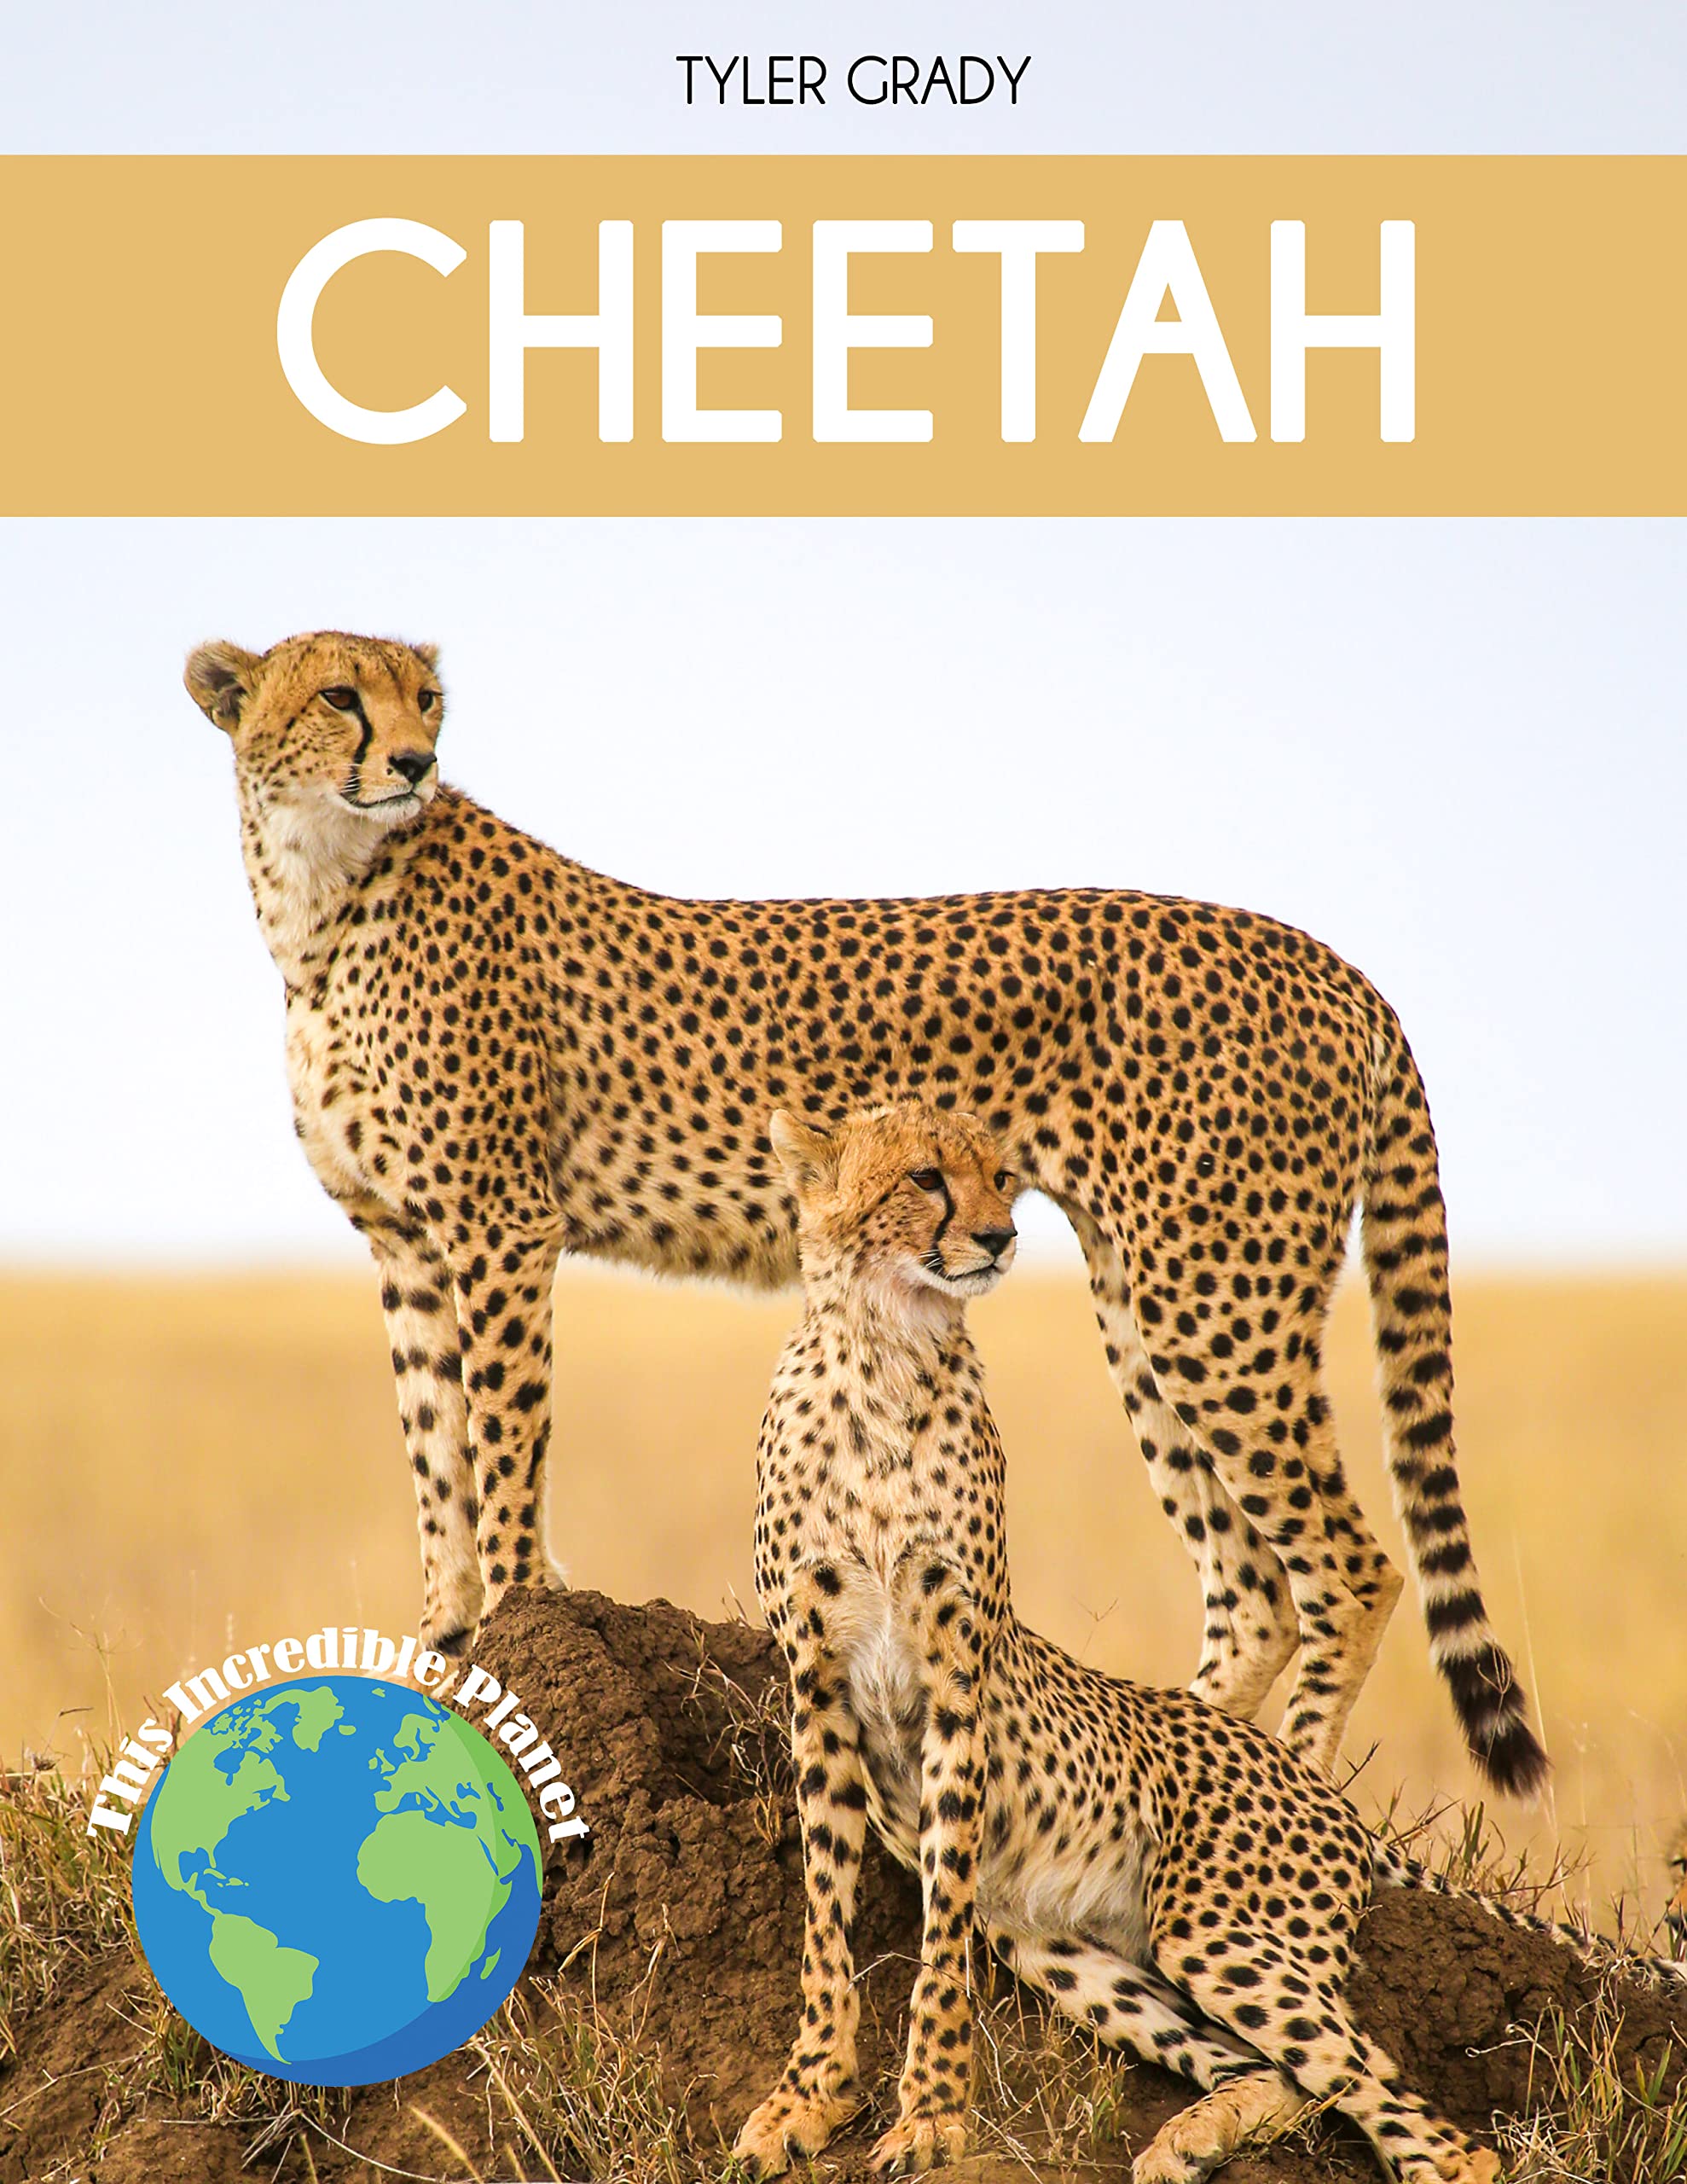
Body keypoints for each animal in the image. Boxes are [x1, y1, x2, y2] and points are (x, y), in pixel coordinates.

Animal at [184, 626, 1546, 1793]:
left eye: (427, 699)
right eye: (340, 696)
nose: (414, 762)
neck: (322, 895)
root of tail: (1333, 962)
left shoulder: (499, 1221)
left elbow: (502, 1437)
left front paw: (522, 1613)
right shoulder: (406, 1240)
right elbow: (436, 1456)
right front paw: (447, 1639)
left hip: (1213, 1298)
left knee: (1347, 1568)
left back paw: (1286, 1795)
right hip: (1144, 1297)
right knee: (1250, 1582)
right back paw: (1169, 1765)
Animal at [734, 1099, 1683, 2183]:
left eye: (1001, 1177)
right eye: (926, 1177)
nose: (1000, 1236)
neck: (886, 1349)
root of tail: (1318, 1788)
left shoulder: (955, 1680)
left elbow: (937, 1938)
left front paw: (929, 2115)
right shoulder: (817, 1686)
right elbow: (825, 1916)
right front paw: (807, 2099)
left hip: (1215, 1929)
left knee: (1423, 2125)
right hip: (1067, 1950)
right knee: (1276, 2074)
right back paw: (1190, 2139)